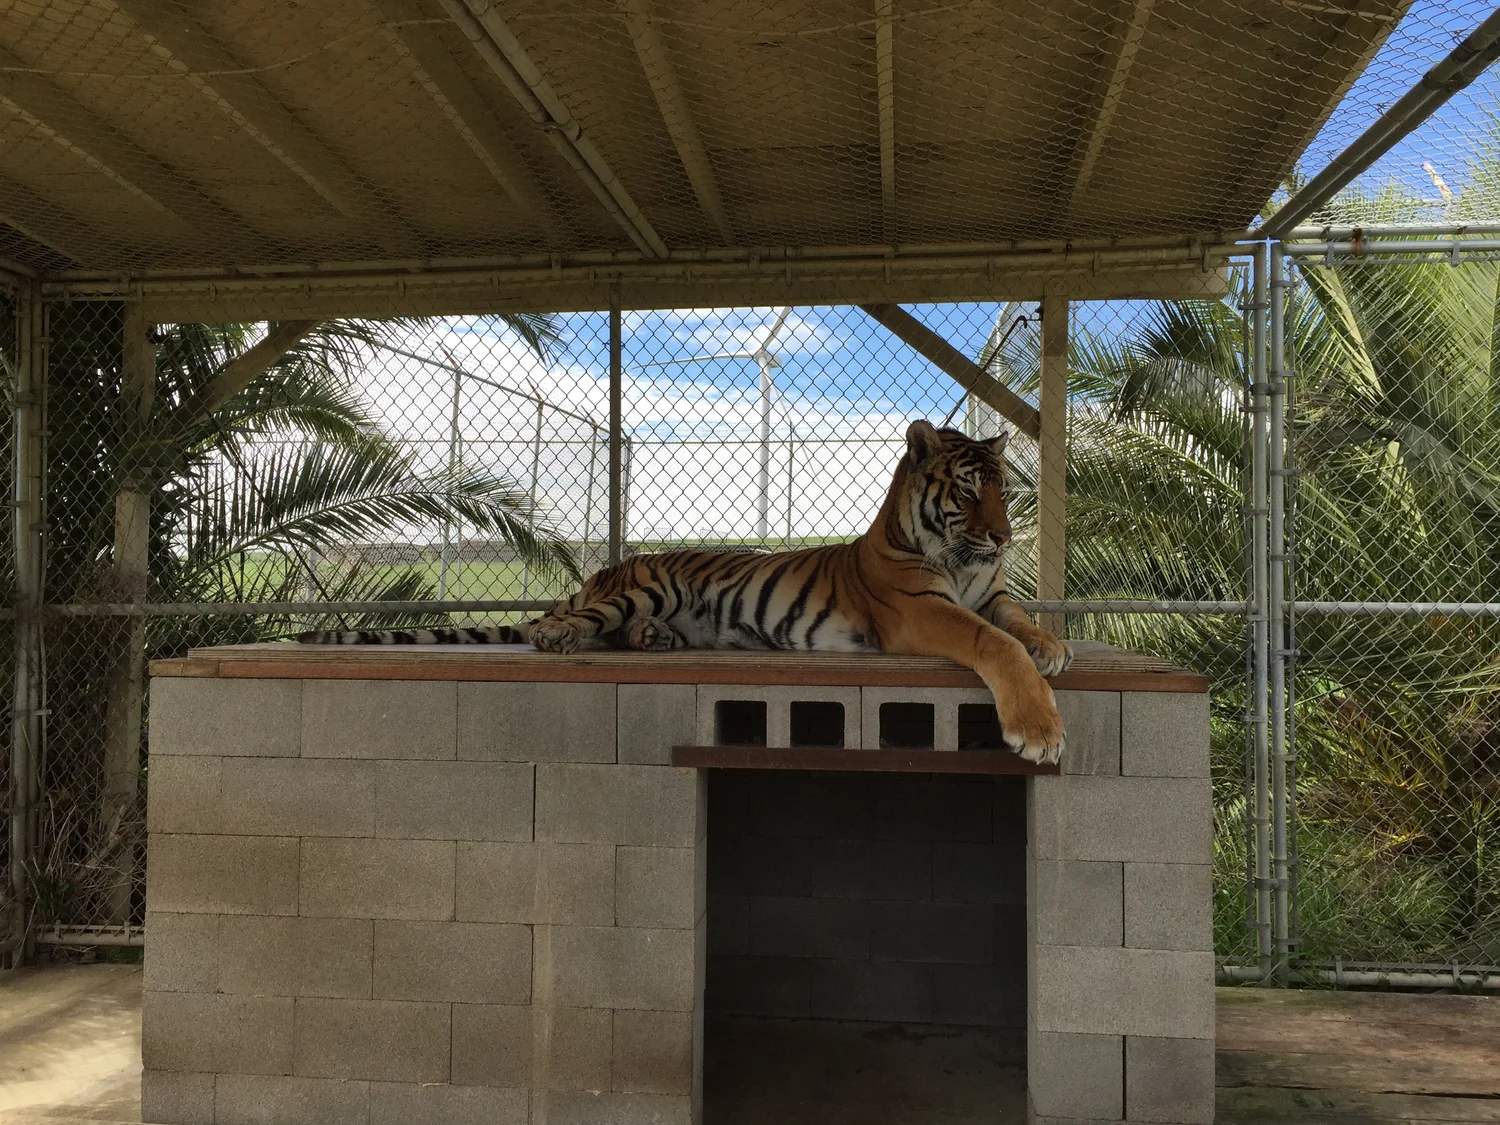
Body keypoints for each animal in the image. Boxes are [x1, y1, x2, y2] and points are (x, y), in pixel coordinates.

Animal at [299, 420, 1071, 762]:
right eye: (968, 491)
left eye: (1005, 493)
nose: (1005, 536)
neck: (959, 559)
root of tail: (605, 570)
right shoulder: (922, 612)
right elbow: (994, 643)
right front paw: (1038, 729)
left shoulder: (989, 592)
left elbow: (1017, 617)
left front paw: (1054, 644)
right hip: (639, 589)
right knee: (572, 622)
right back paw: (560, 636)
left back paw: (651, 640)